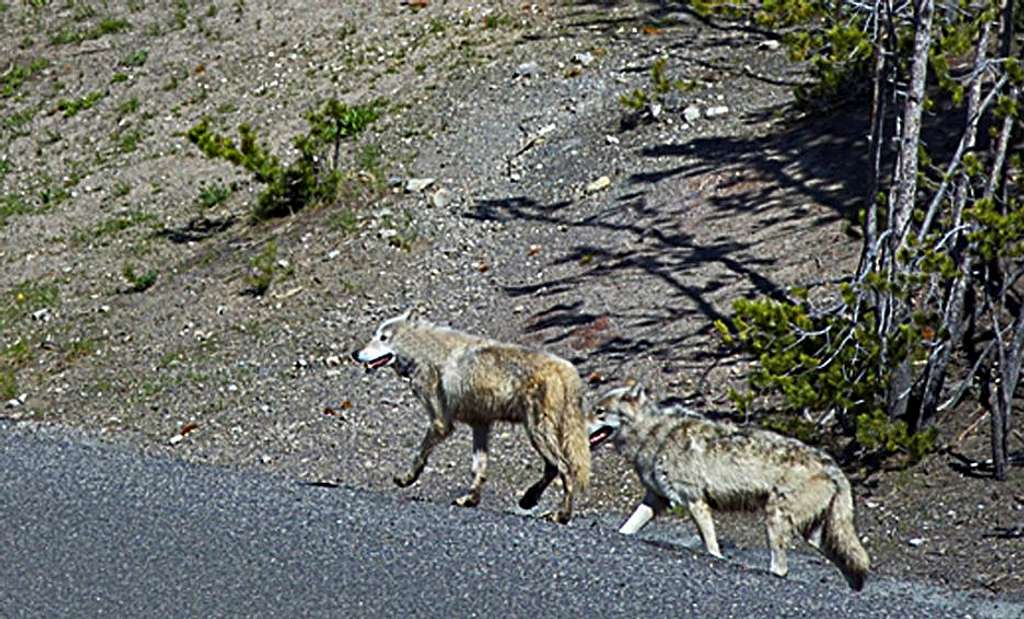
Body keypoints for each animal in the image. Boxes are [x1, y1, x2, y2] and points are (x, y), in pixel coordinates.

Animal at [352, 309, 591, 523]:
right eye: (375, 336)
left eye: (383, 338)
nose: (355, 353)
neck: (424, 352)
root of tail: (568, 371)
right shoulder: (480, 424)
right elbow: (479, 468)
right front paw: (470, 499)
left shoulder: (440, 423)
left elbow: (419, 456)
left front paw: (406, 479)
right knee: (554, 468)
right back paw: (529, 500)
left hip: (537, 432)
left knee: (564, 468)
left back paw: (561, 515)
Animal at [588, 382, 870, 591]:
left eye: (599, 412)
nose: (581, 424)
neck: (653, 434)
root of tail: (833, 467)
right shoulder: (656, 500)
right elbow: (627, 528)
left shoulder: (695, 502)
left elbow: (711, 546)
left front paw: (717, 559)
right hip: (815, 535)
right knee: (850, 565)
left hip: (776, 521)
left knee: (781, 569)